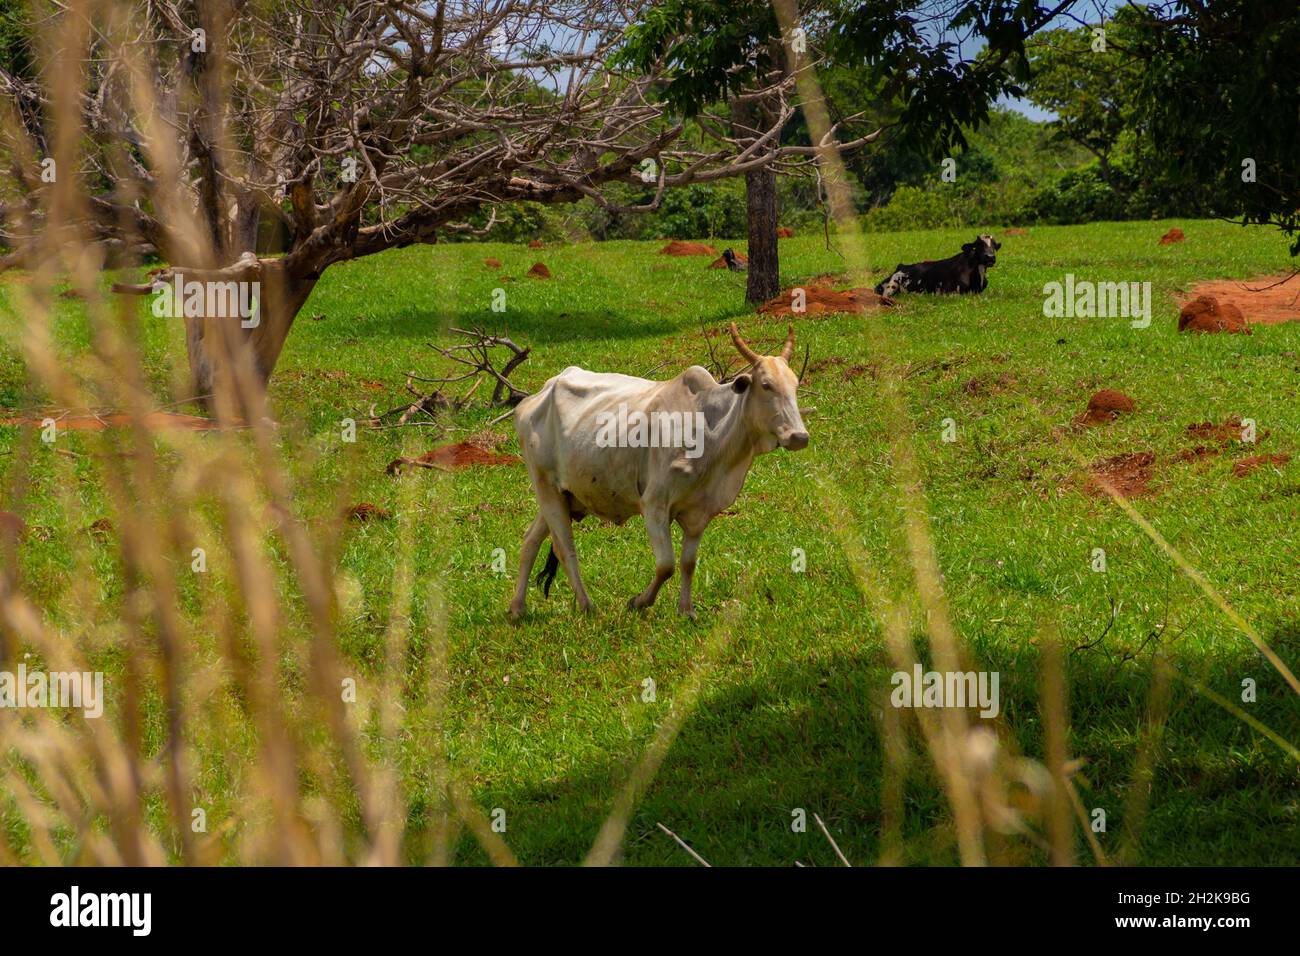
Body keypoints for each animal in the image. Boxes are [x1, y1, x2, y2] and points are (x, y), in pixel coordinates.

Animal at [509, 324, 809, 620]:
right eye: (766, 385)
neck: (711, 431)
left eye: (795, 385)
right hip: (546, 487)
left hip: (565, 495)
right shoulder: (654, 504)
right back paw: (586, 606)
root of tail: (533, 399)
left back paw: (517, 608)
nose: (799, 437)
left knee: (530, 540)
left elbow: (688, 563)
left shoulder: (701, 512)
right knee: (565, 548)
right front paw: (639, 602)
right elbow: (666, 565)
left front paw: (686, 610)